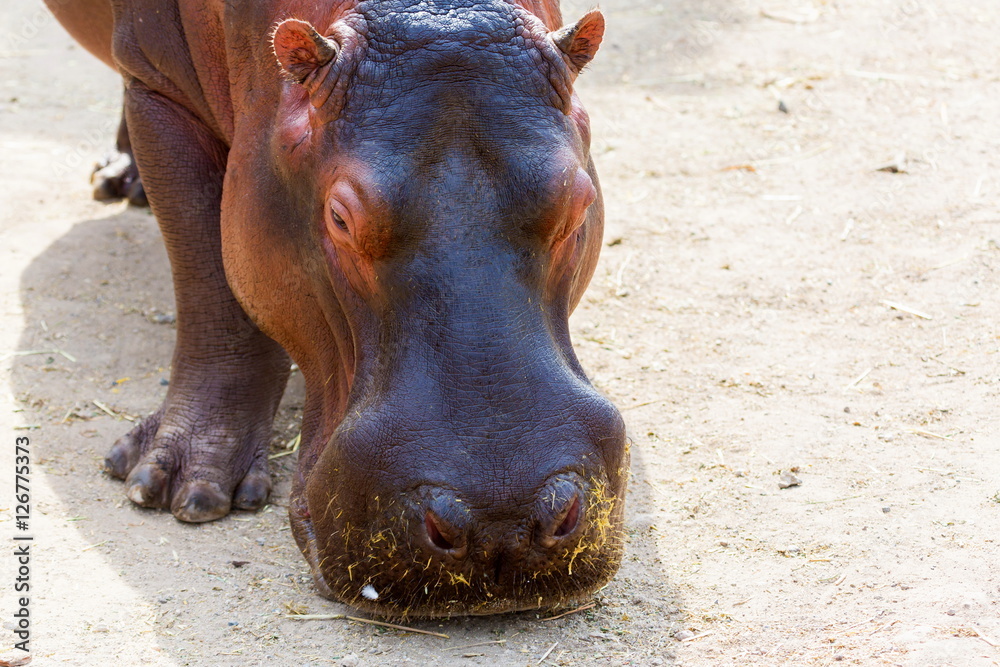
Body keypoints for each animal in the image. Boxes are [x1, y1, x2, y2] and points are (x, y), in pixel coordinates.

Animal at [46, 0, 628, 617]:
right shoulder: (159, 91)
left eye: (579, 202)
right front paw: (178, 485)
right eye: (340, 217)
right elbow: (208, 281)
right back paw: (118, 180)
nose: (502, 521)